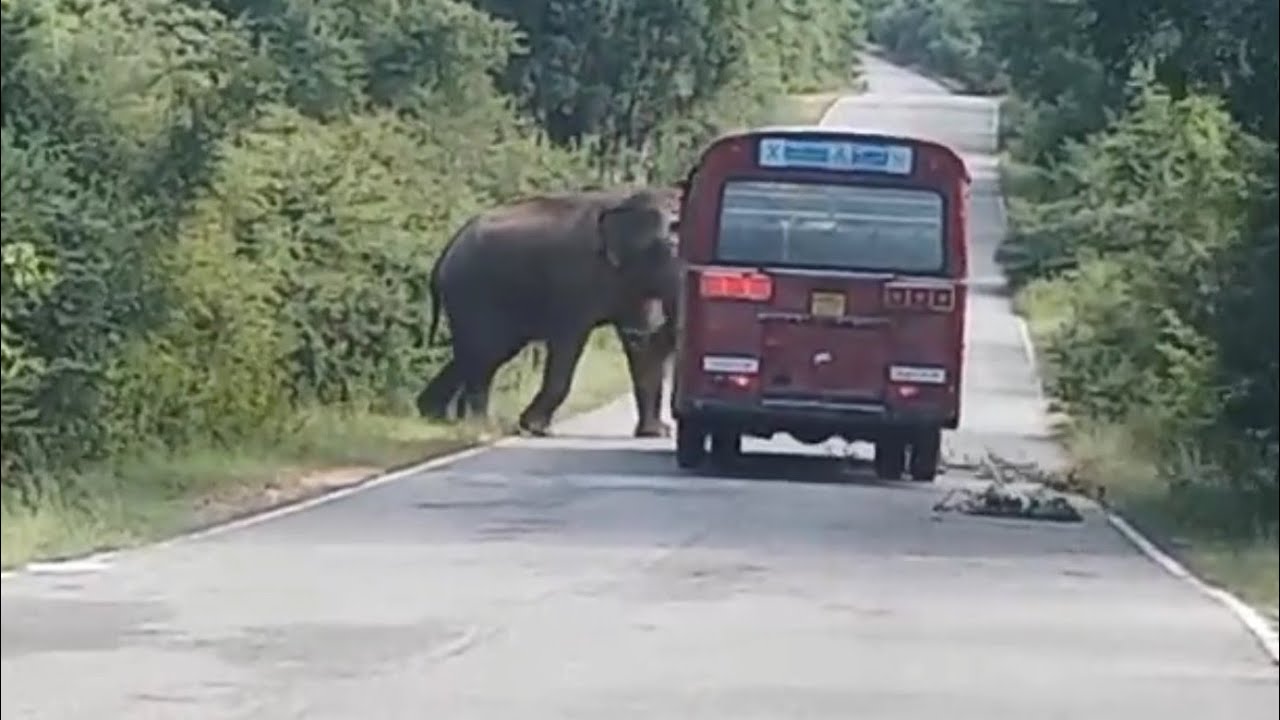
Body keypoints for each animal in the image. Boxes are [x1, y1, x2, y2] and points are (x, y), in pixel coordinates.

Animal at [415, 186, 682, 438]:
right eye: (671, 246)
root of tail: (445, 252)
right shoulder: (575, 279)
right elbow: (568, 341)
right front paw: (535, 429)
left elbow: (643, 342)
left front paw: (656, 433)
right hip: (472, 293)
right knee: (483, 355)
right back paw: (482, 427)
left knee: (480, 354)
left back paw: (434, 415)